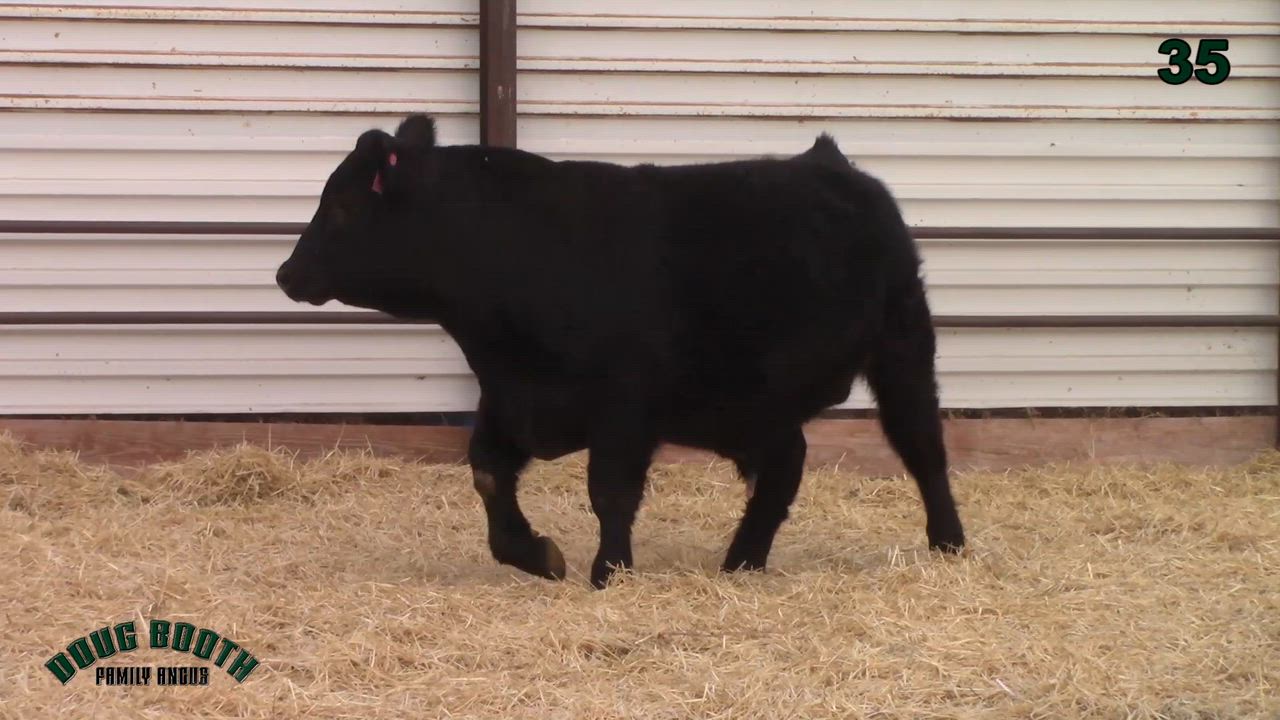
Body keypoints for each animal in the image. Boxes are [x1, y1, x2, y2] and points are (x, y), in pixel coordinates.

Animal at [275, 114, 966, 589]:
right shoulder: (508, 398)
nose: (287, 274)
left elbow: (609, 491)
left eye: (341, 205)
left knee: (923, 447)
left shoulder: (624, 409)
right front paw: (537, 555)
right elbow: (488, 473)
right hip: (750, 403)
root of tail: (828, 161)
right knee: (785, 464)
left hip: (902, 347)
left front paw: (608, 573)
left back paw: (949, 543)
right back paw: (742, 561)